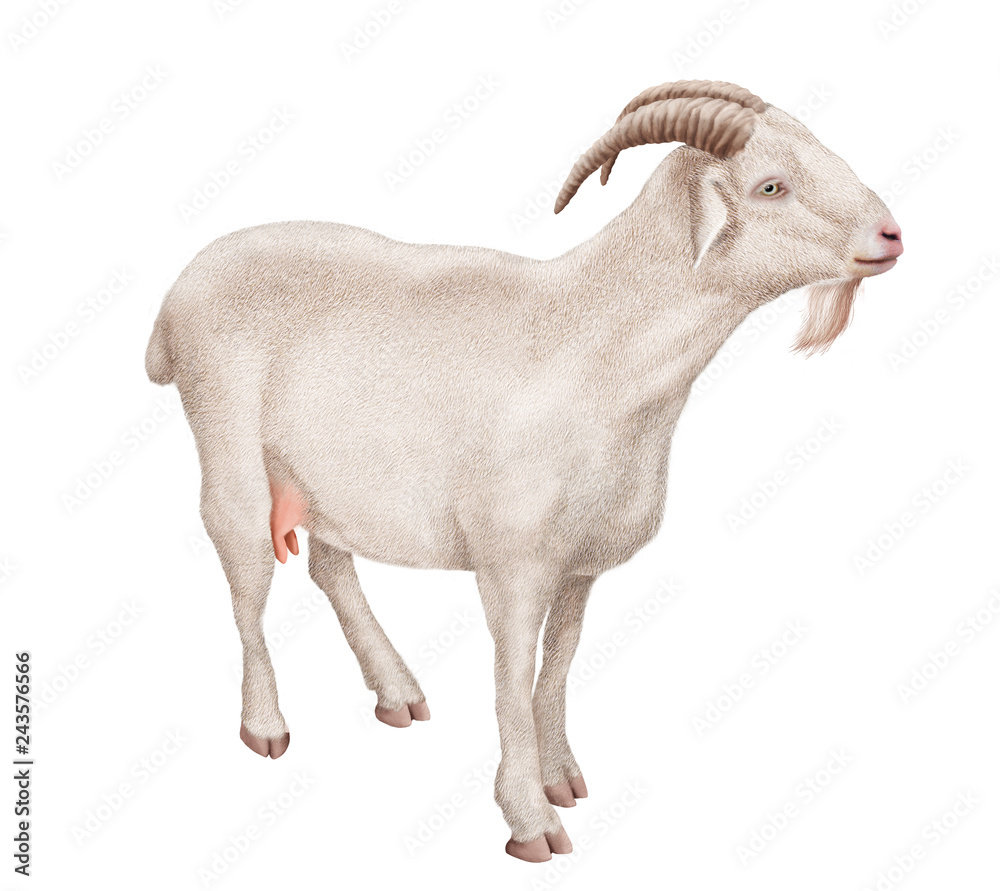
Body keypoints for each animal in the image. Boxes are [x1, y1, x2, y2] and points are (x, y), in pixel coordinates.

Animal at [146, 80, 903, 861]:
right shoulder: (512, 564)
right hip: (230, 456)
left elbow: (559, 664)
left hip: (329, 479)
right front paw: (529, 820)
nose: (891, 235)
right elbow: (512, 676)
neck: (590, 337)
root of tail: (176, 297)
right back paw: (265, 726)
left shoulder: (578, 565)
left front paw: (561, 777)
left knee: (331, 567)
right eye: (771, 186)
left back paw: (396, 692)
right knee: (245, 583)